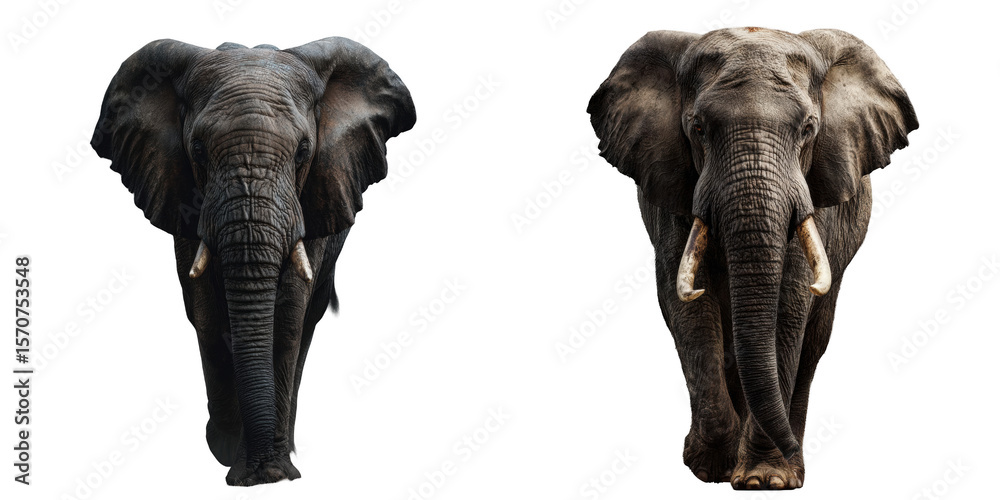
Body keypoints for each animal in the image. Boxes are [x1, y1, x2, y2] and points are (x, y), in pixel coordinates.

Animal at [91, 37, 415, 485]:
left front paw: (270, 473)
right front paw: (230, 454)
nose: (260, 469)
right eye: (197, 151)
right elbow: (208, 315)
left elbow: (289, 315)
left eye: (303, 152)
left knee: (307, 322)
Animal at [588, 28, 917, 489]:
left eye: (808, 129)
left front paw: (765, 479)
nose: (791, 450)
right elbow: (687, 304)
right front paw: (711, 468)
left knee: (812, 345)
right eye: (699, 128)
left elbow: (789, 306)